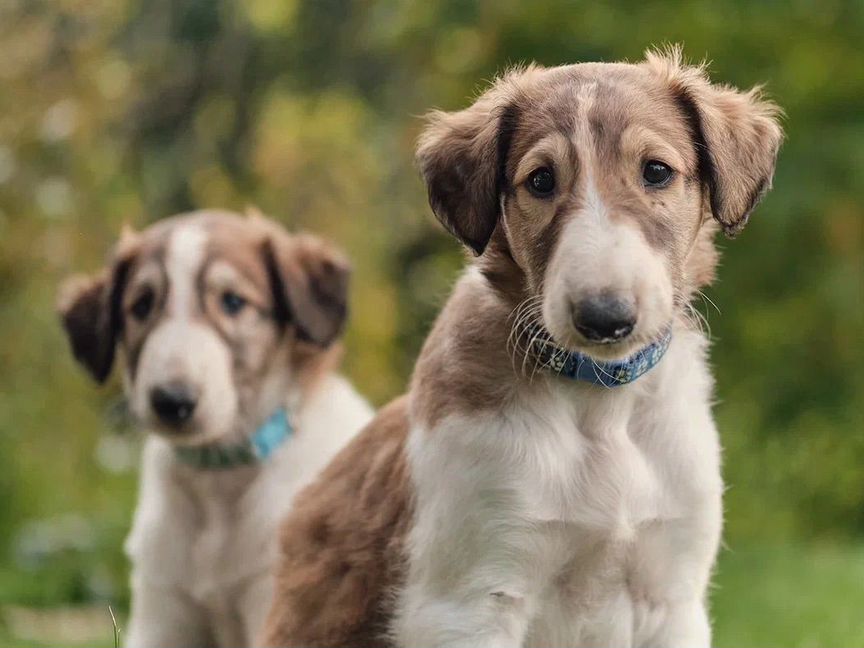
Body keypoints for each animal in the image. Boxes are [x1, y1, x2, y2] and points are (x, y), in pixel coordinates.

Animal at [56, 210, 374, 644]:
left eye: (233, 302)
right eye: (141, 306)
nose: (171, 401)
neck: (216, 481)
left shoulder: (274, 600)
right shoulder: (161, 610)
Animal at [264, 46, 784, 648]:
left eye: (656, 171)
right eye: (540, 181)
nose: (605, 319)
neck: (601, 408)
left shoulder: (671, 595)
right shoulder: (470, 601)